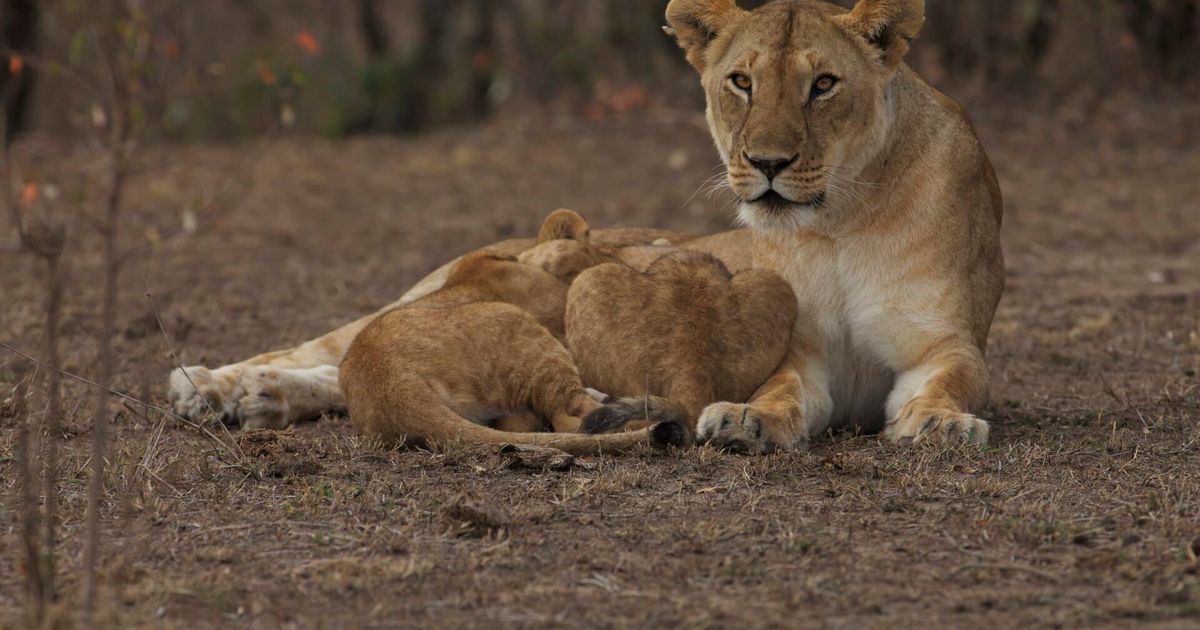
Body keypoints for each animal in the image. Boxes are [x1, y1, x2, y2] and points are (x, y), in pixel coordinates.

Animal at [169, 0, 1003, 454]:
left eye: (824, 84)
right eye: (741, 81)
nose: (766, 163)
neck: (838, 222)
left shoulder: (944, 343)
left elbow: (950, 380)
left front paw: (940, 424)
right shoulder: (802, 353)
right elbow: (781, 393)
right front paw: (744, 418)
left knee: (349, 370)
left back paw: (258, 401)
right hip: (427, 294)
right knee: (329, 346)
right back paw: (215, 387)